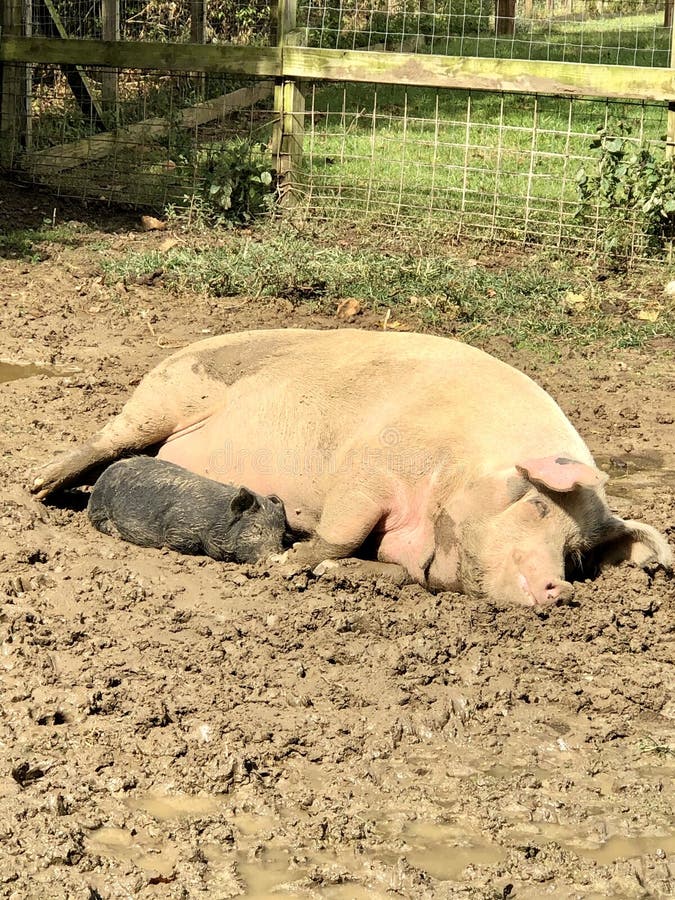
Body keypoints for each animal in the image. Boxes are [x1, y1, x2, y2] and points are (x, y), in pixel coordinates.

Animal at [87, 456, 287, 563]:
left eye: (282, 534)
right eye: (257, 528)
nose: (277, 557)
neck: (218, 520)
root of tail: (107, 470)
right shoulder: (179, 526)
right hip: (99, 505)